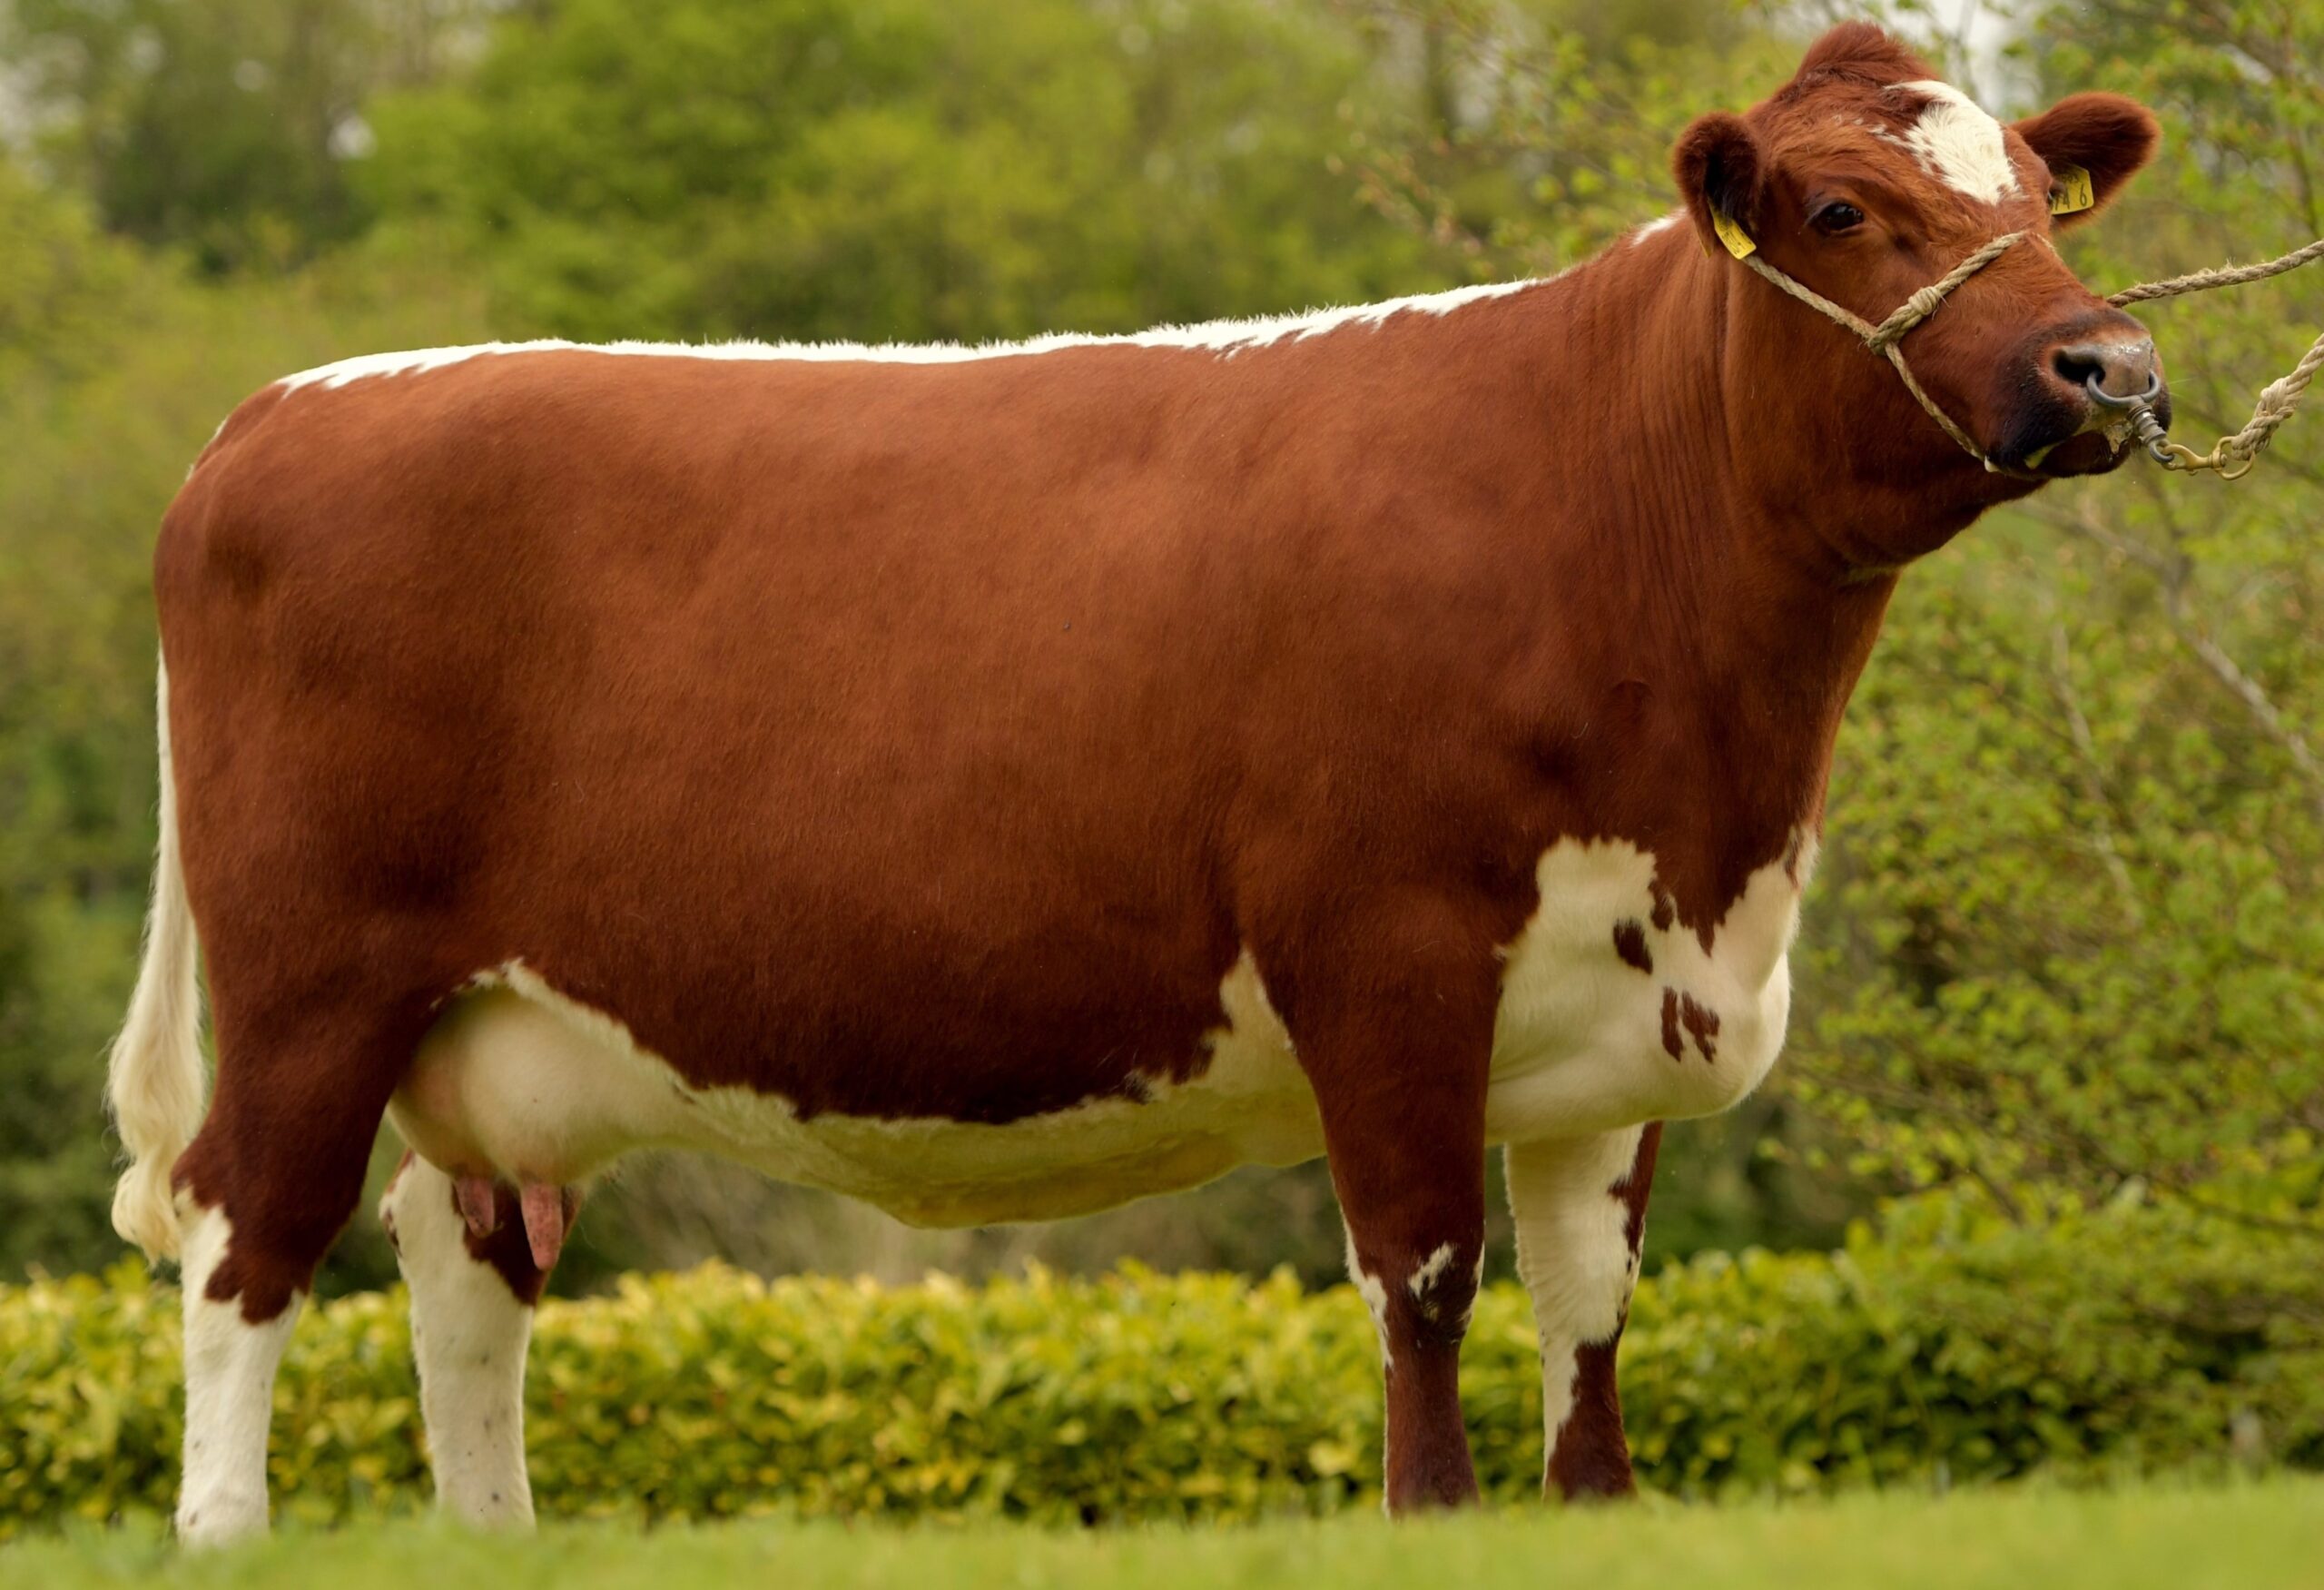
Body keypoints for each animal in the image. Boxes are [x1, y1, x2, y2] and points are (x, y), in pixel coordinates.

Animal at [104, 23, 2165, 1542]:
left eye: (2037, 196)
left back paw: (492, 1534)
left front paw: (1593, 1508)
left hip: (481, 1027)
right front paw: (1433, 1514)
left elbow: (1588, 1300)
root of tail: (279, 412)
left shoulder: (1623, 984)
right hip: (312, 981)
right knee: (244, 1237)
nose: (2110, 363)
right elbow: (1422, 1272)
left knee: (460, 1264)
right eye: (1840, 204)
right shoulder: (1385, 951)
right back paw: (227, 1533)